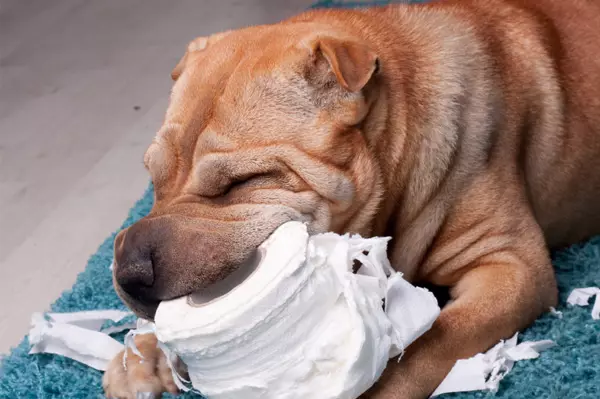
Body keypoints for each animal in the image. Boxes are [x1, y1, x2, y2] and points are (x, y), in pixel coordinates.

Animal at [102, 1, 600, 398]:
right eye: (153, 179)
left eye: (241, 182)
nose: (128, 273)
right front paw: (141, 354)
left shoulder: (512, 268)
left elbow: (428, 344)